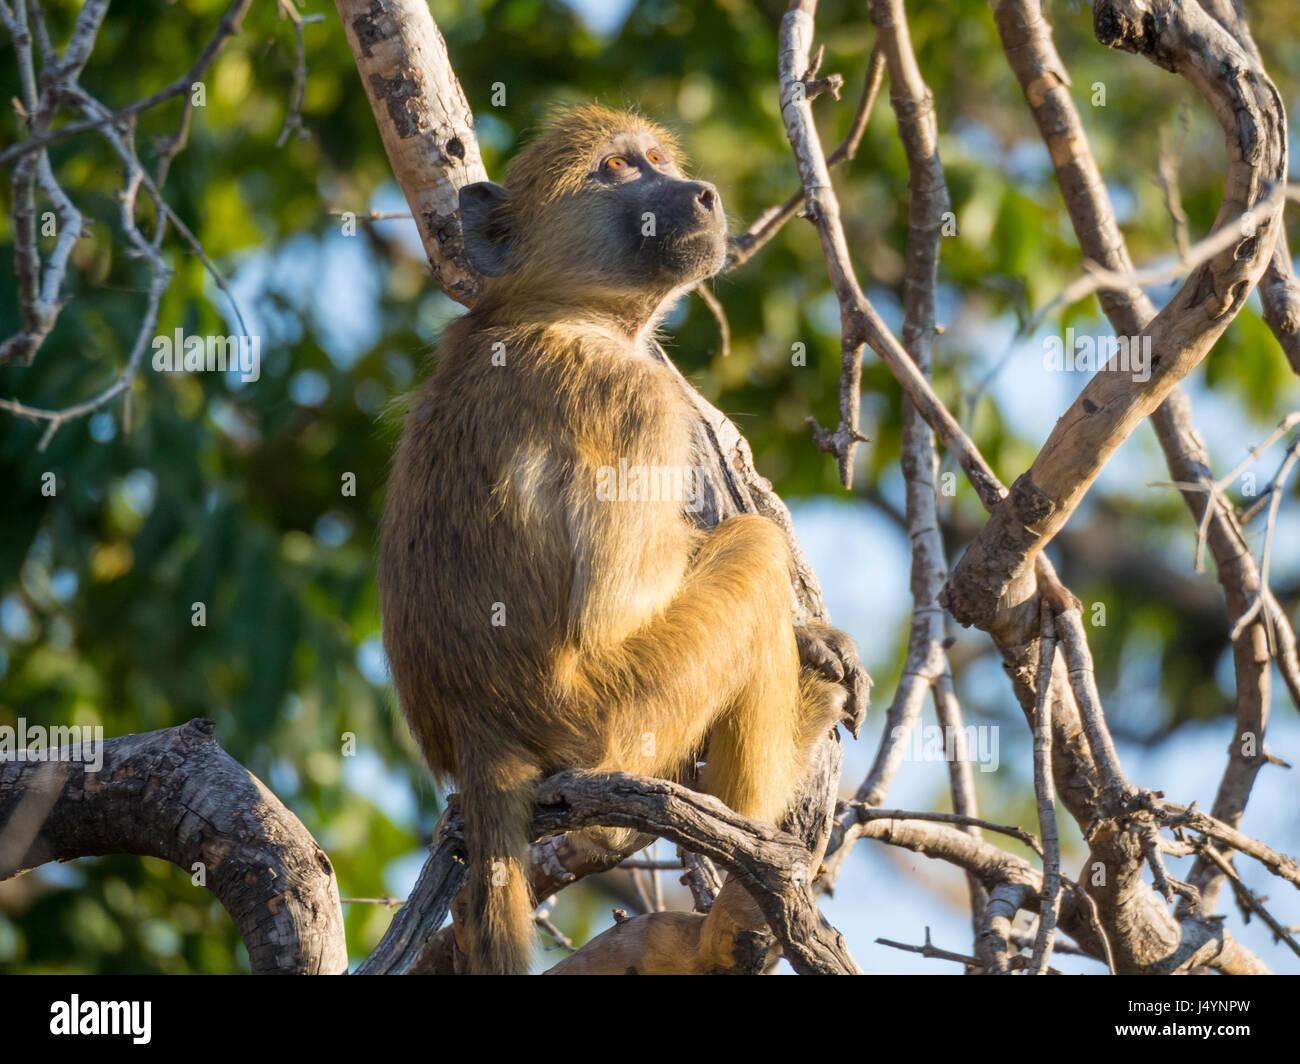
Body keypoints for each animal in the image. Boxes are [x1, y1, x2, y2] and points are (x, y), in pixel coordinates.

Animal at [378, 105, 868, 975]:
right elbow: (614, 611)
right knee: (754, 552)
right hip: (613, 717)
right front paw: (806, 644)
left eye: (656, 161)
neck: (559, 308)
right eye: (614, 167)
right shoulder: (634, 400)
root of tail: (478, 736)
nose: (701, 194)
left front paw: (813, 639)